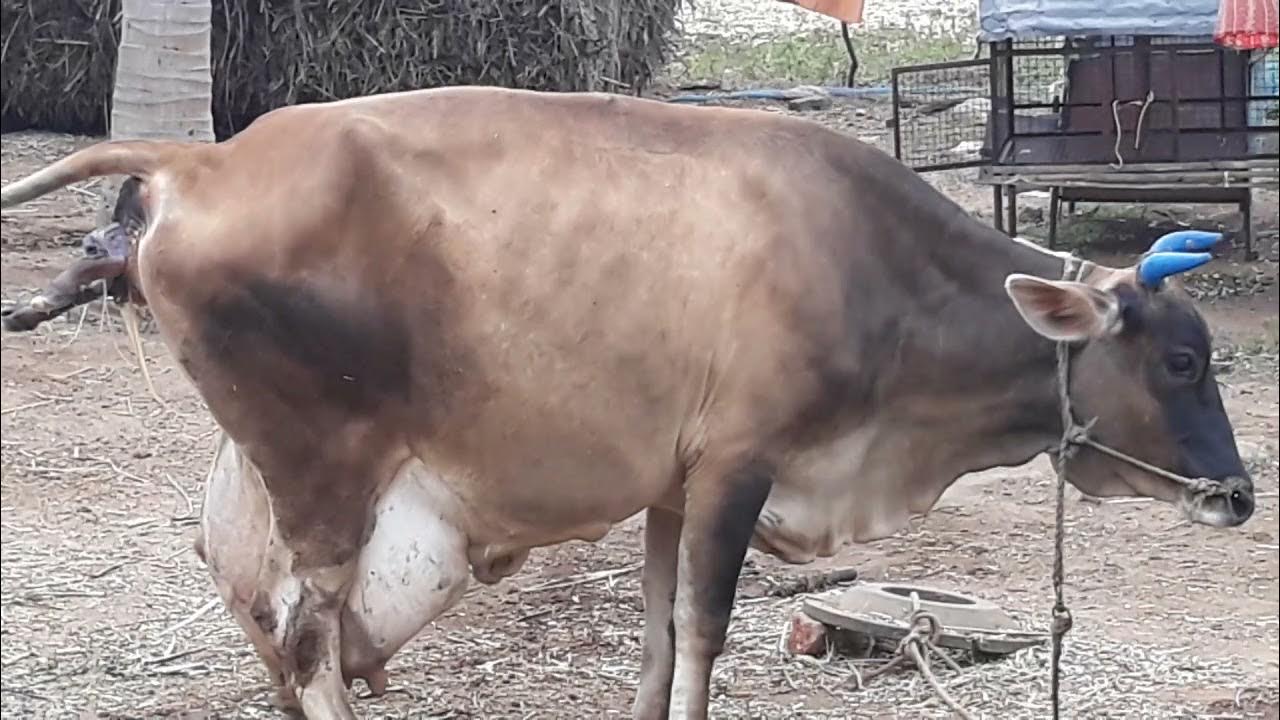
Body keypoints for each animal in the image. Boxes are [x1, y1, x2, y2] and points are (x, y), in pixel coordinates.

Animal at [0, 86, 1255, 720]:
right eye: (1179, 362)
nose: (1238, 497)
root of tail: (198, 161)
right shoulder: (742, 463)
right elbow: (703, 631)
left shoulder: (673, 483)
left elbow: (654, 637)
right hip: (323, 475)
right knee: (307, 641)